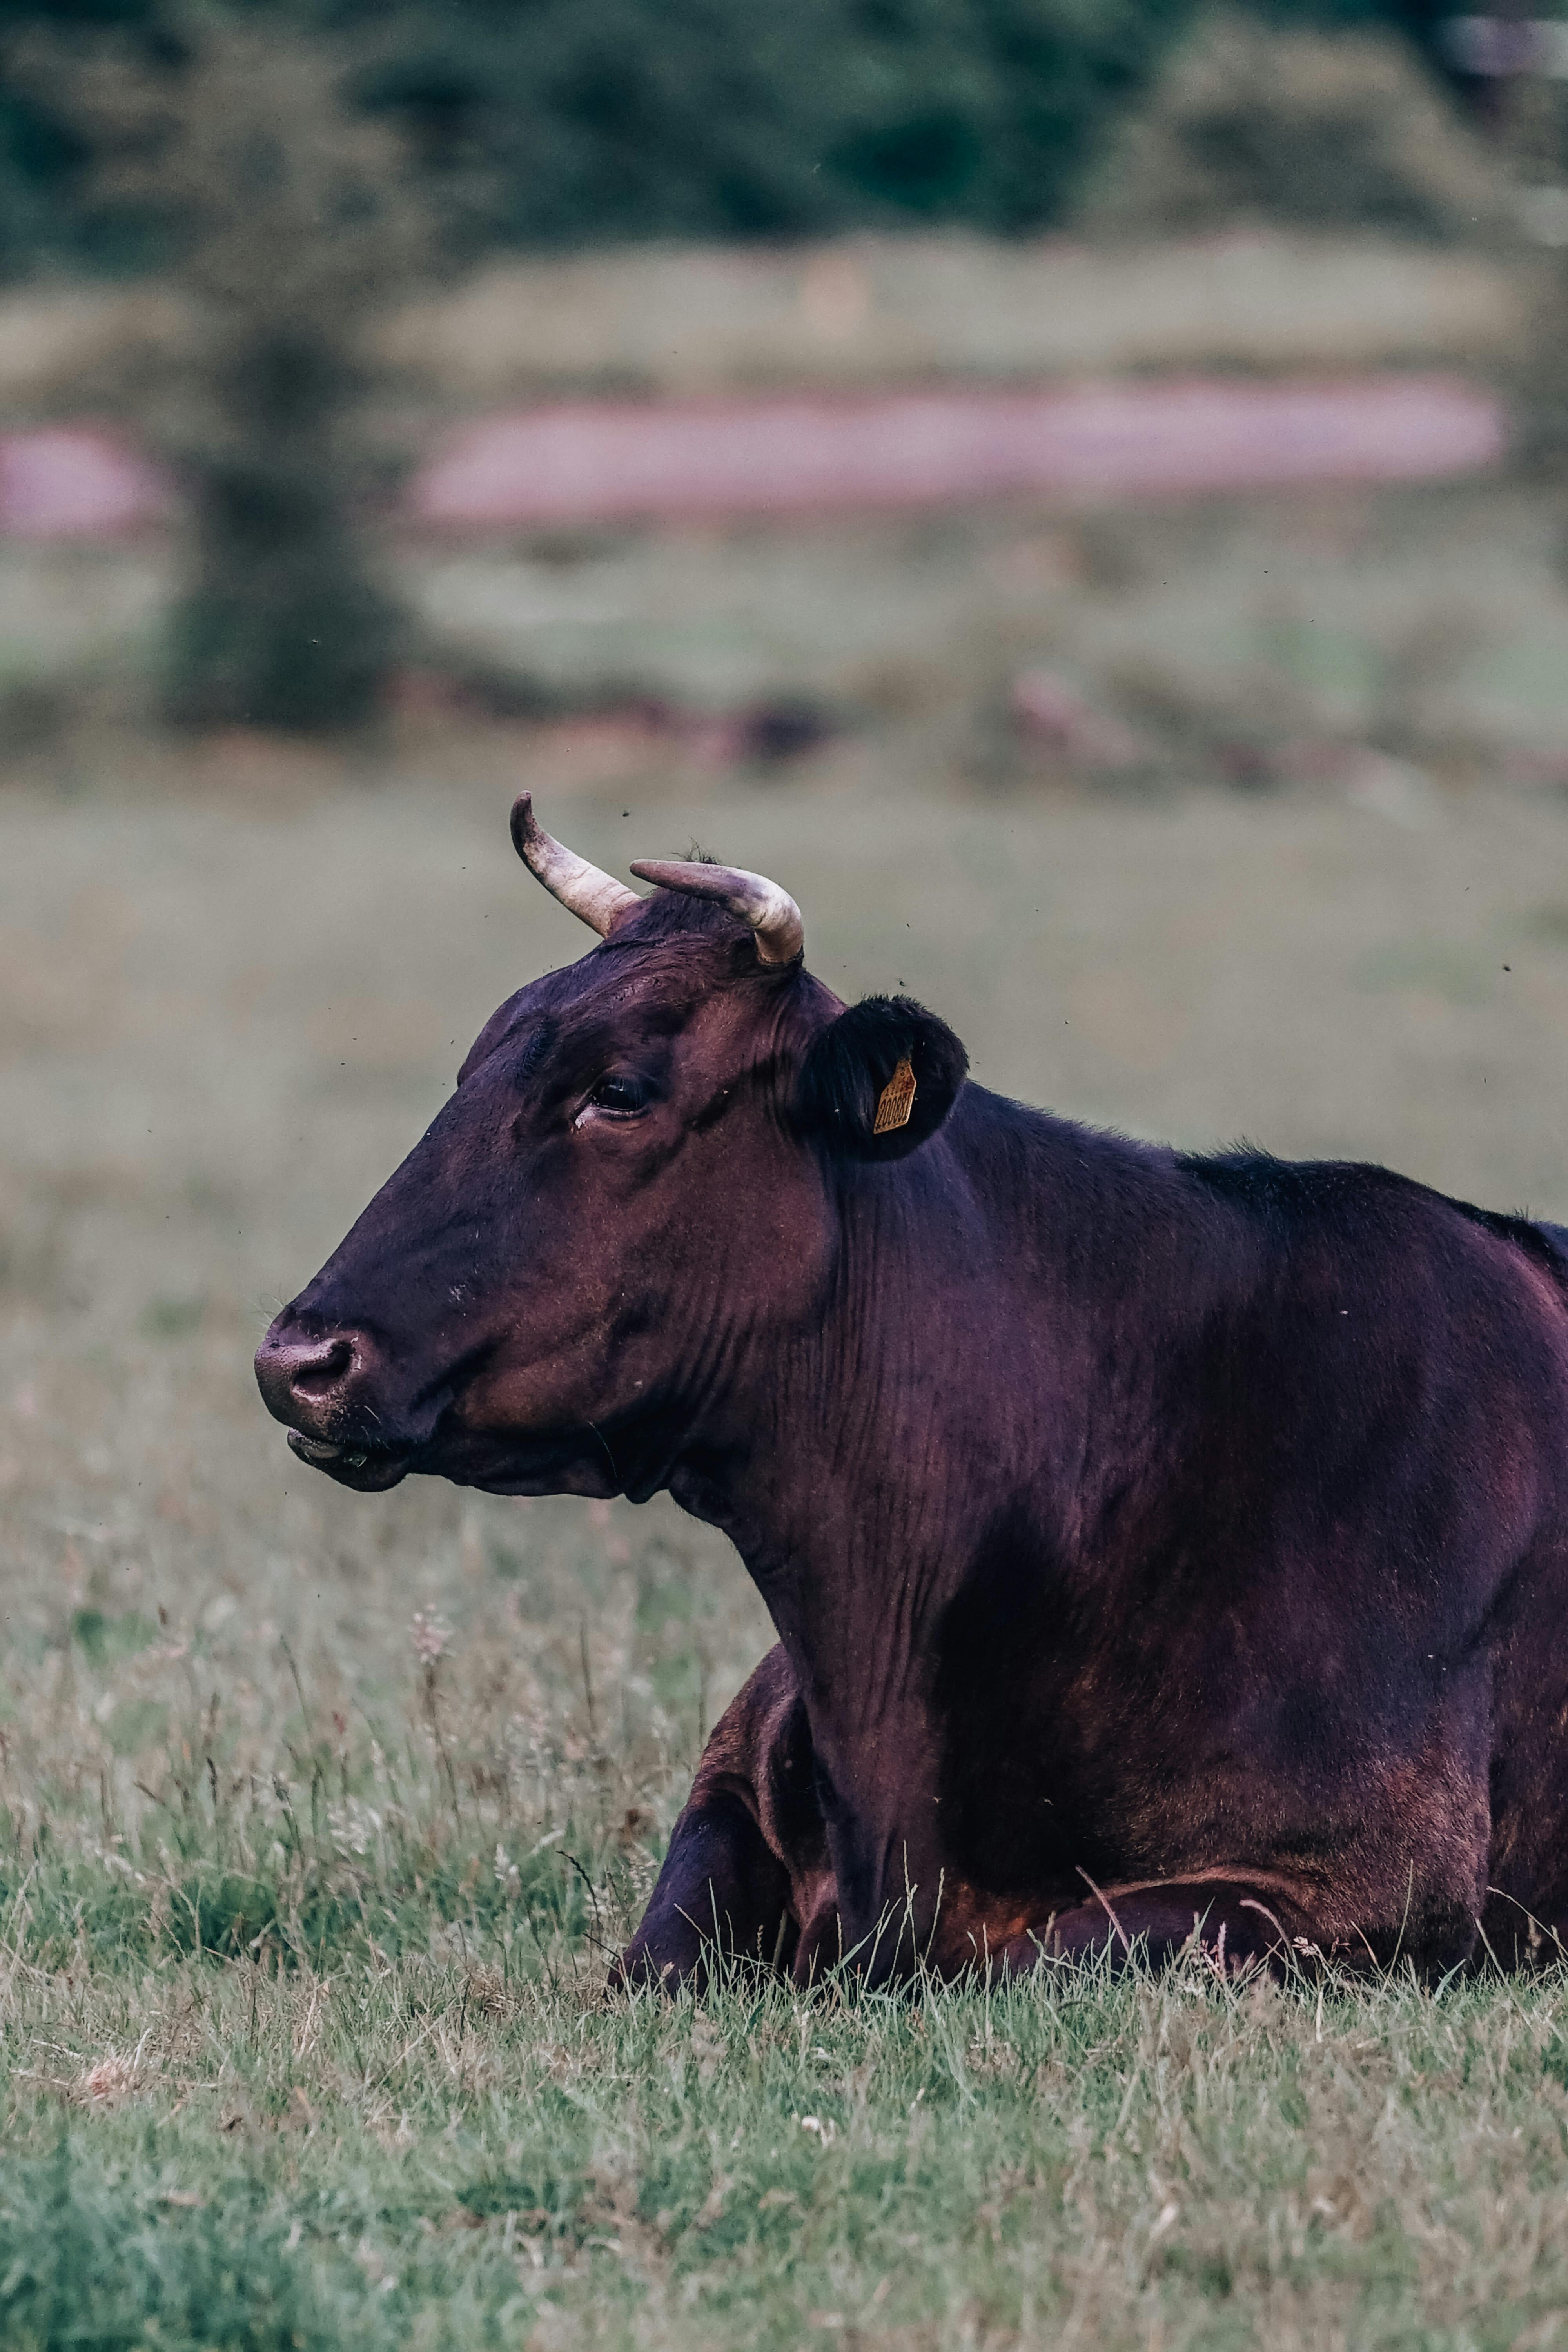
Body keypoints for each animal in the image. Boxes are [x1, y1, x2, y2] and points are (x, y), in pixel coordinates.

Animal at [256, 797, 1568, 1986]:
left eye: (617, 1091)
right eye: (471, 1068)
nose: (299, 1359)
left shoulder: (1364, 1886)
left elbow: (1047, 1957)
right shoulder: (727, 1787)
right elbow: (657, 1955)